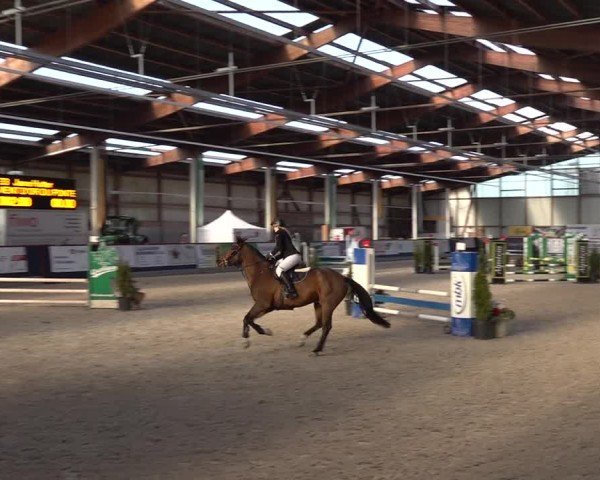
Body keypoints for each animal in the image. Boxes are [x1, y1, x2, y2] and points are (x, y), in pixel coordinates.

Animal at [217, 237, 390, 354]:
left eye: (233, 249)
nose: (220, 262)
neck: (260, 273)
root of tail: (342, 277)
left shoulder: (263, 304)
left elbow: (247, 318)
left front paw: (253, 337)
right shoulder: (267, 307)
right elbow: (249, 319)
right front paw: (258, 334)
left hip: (328, 304)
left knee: (326, 326)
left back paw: (317, 349)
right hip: (318, 303)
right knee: (319, 323)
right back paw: (303, 339)